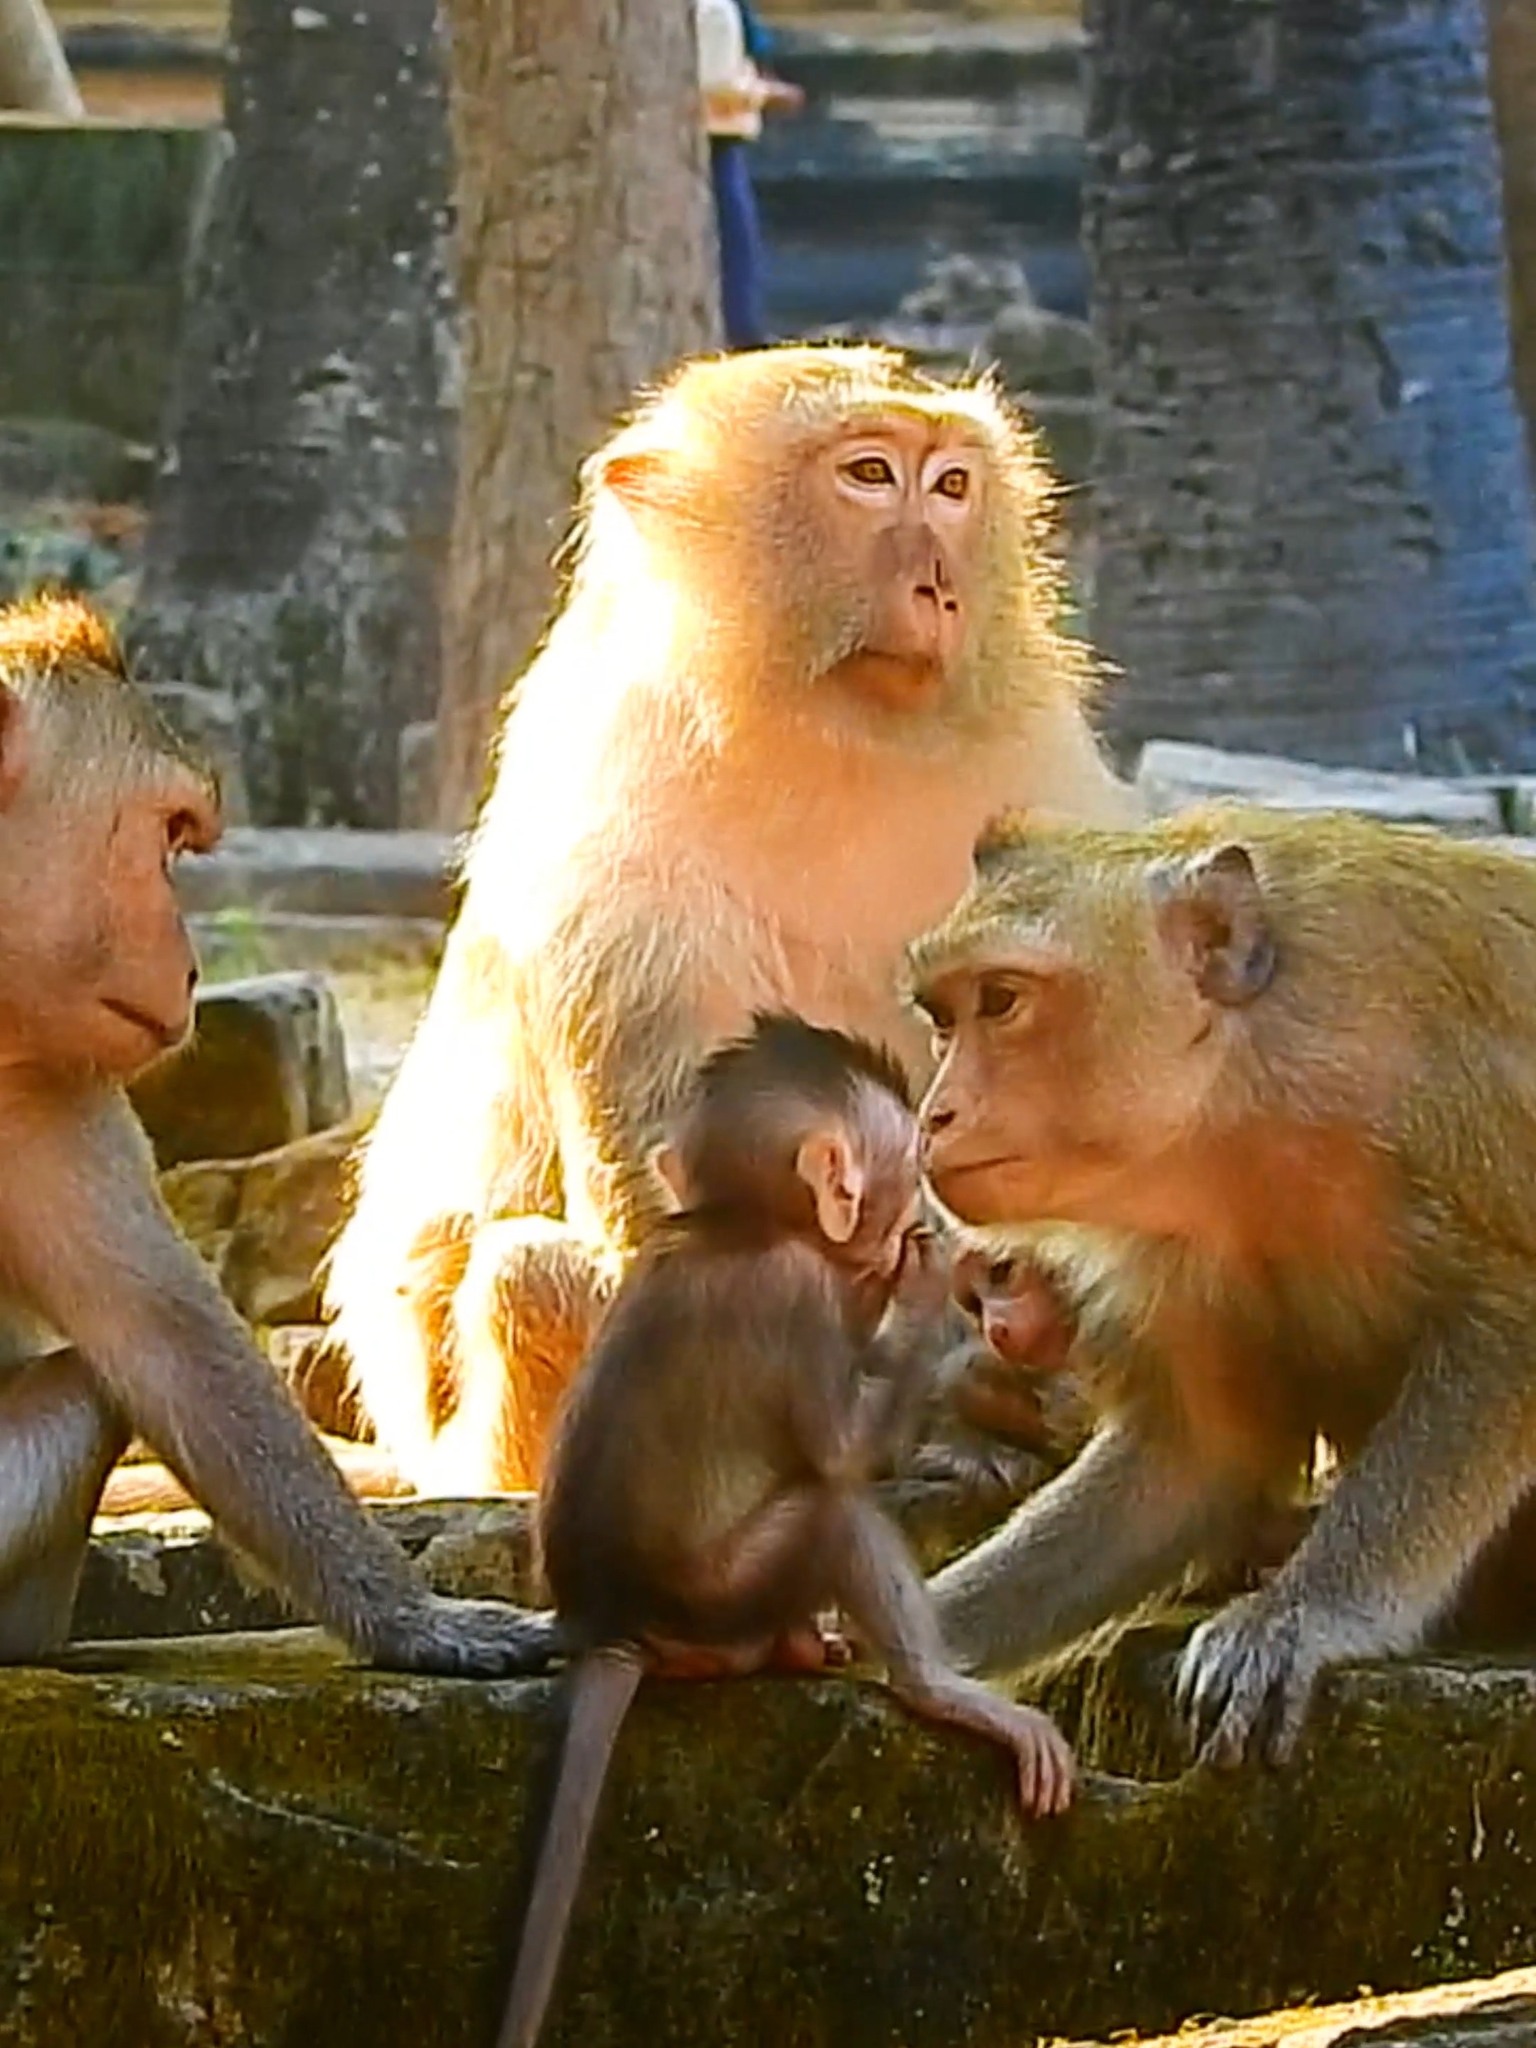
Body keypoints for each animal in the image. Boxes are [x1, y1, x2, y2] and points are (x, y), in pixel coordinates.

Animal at [0, 595, 554, 1673]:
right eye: (166, 837)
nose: (189, 966)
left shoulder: (57, 1091)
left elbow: (169, 1345)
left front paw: (420, 1621)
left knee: (88, 1393)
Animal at [323, 341, 1139, 1498]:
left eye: (951, 485)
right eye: (869, 476)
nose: (938, 584)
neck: (836, 738)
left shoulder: (1052, 784)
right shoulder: (613, 848)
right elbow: (693, 1175)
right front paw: (959, 1390)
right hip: (484, 1444)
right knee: (533, 1276)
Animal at [498, 1012, 1075, 2048]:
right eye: (902, 1161)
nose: (921, 1213)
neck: (745, 1227)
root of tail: (612, 1624)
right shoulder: (802, 1295)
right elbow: (845, 1454)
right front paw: (923, 1284)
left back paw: (810, 1646)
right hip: (721, 1600)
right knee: (832, 1514)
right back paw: (933, 1688)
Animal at [908, 803, 1536, 1767]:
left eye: (1002, 1001)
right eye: (941, 1015)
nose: (933, 1115)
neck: (1248, 1085)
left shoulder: (1437, 1097)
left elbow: (1510, 1320)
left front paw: (1300, 1616)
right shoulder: (1185, 1248)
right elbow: (1195, 1461)